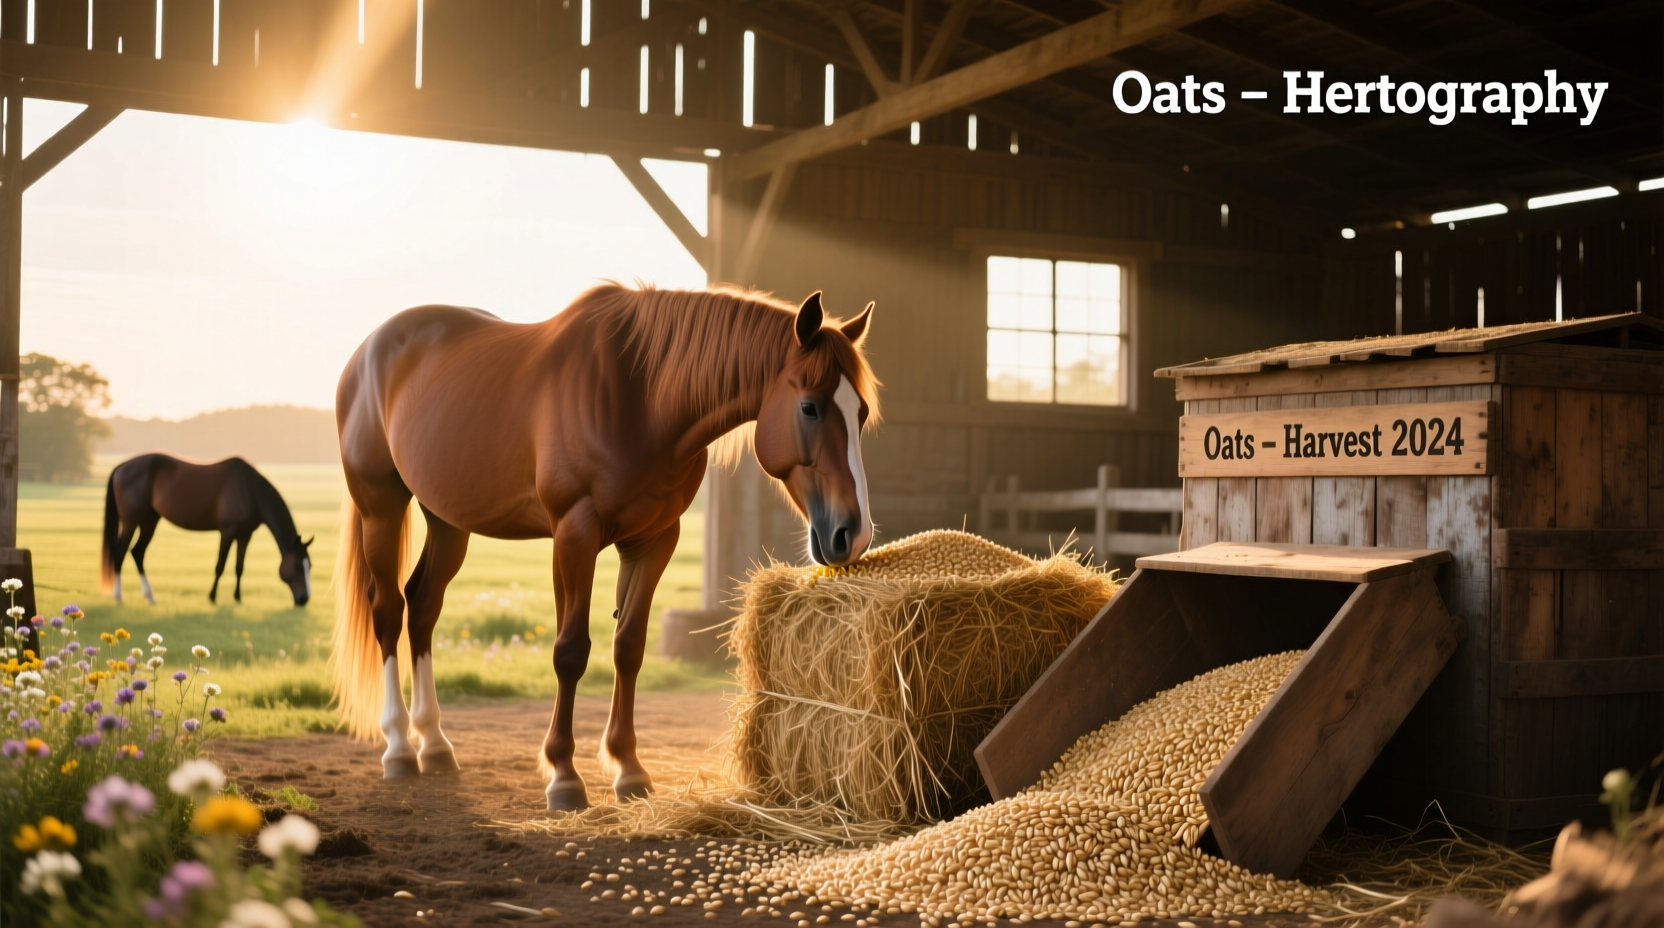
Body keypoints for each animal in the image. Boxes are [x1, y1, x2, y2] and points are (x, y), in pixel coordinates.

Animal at [100, 454, 315, 607]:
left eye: (309, 566)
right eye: (297, 565)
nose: (304, 599)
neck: (249, 490)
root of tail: (122, 467)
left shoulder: (245, 535)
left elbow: (239, 567)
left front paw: (237, 597)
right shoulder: (227, 531)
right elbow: (220, 565)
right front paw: (212, 597)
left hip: (149, 520)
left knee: (137, 552)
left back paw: (150, 596)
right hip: (131, 521)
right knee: (120, 551)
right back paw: (118, 596)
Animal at [331, 284, 878, 808]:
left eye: (862, 413)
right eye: (809, 407)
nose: (852, 534)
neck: (641, 400)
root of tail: (367, 351)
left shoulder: (654, 540)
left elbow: (628, 647)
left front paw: (628, 769)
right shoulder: (575, 532)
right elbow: (570, 651)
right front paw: (563, 776)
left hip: (447, 520)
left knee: (423, 605)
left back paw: (435, 744)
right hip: (381, 506)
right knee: (388, 610)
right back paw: (399, 749)